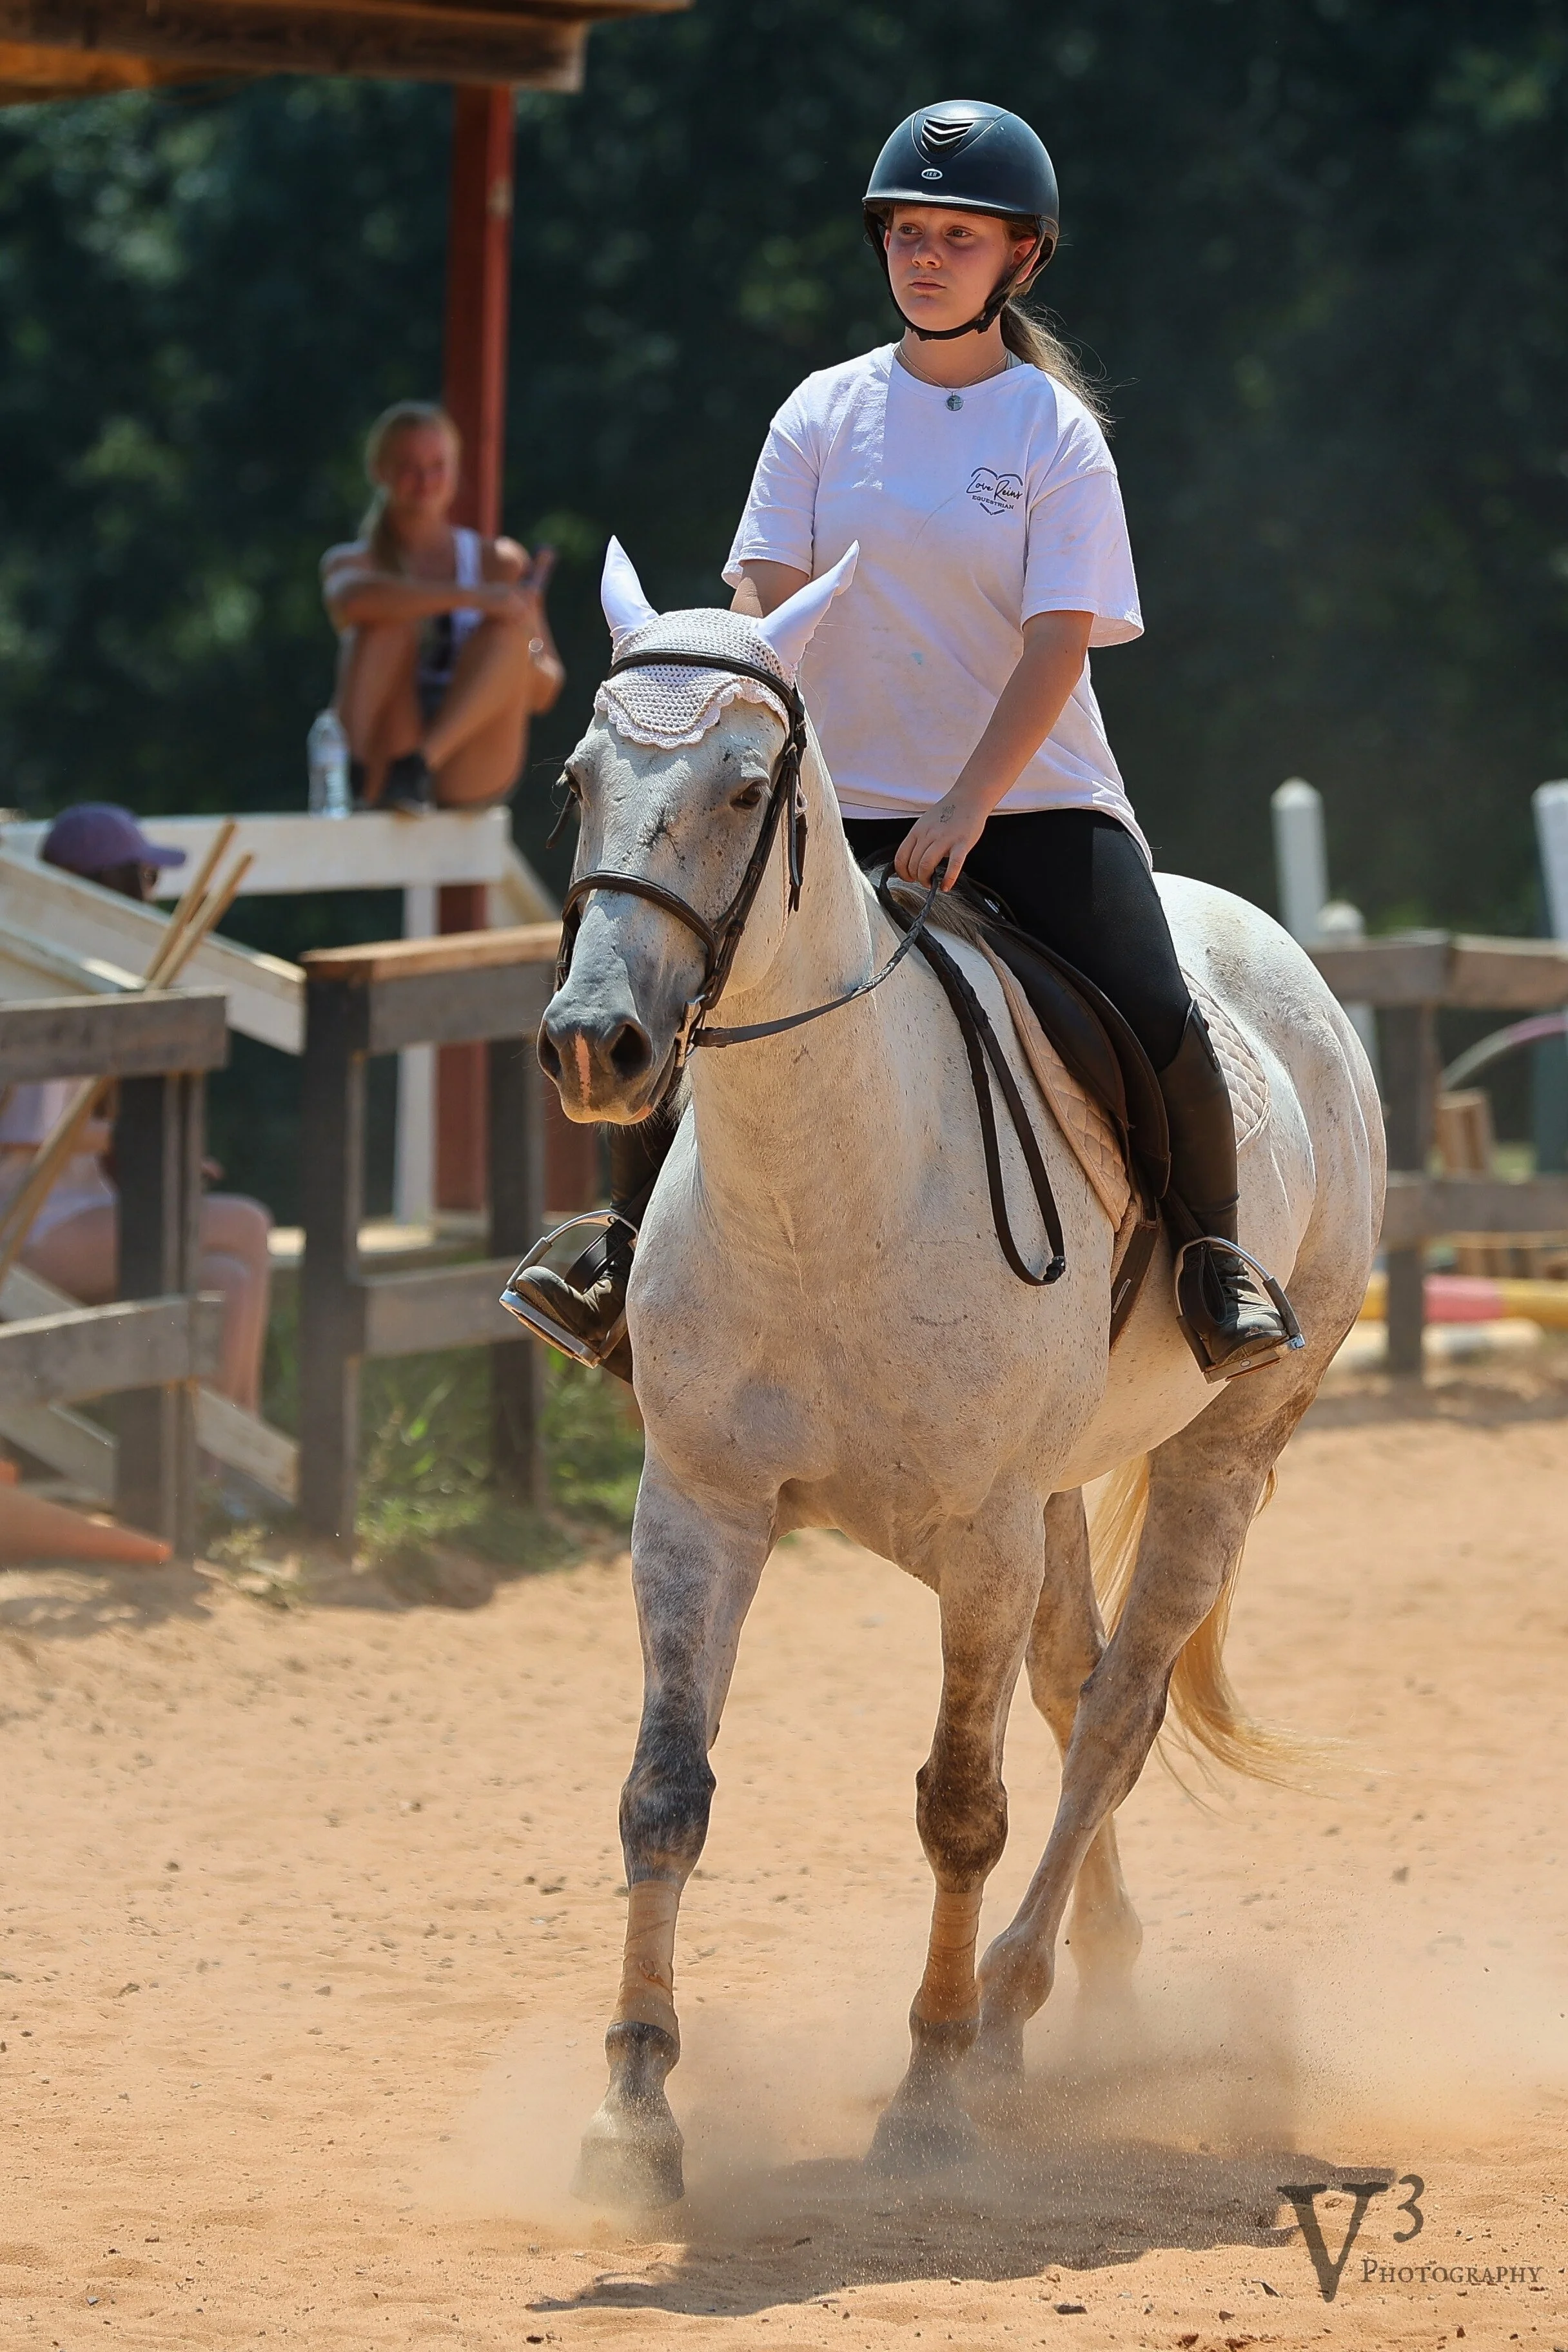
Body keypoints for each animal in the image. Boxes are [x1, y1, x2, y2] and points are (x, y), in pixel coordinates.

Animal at [533, 541, 1384, 2207]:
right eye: (578, 780)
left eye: (746, 788)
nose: (598, 1043)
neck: (827, 1188)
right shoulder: (699, 1506)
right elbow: (664, 1794)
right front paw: (630, 2116)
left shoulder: (978, 1537)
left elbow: (960, 1809)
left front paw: (927, 2100)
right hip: (1048, 1496)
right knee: (1071, 1686)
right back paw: (1077, 1981)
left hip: (1223, 1455)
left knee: (1111, 1716)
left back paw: (1003, 2013)